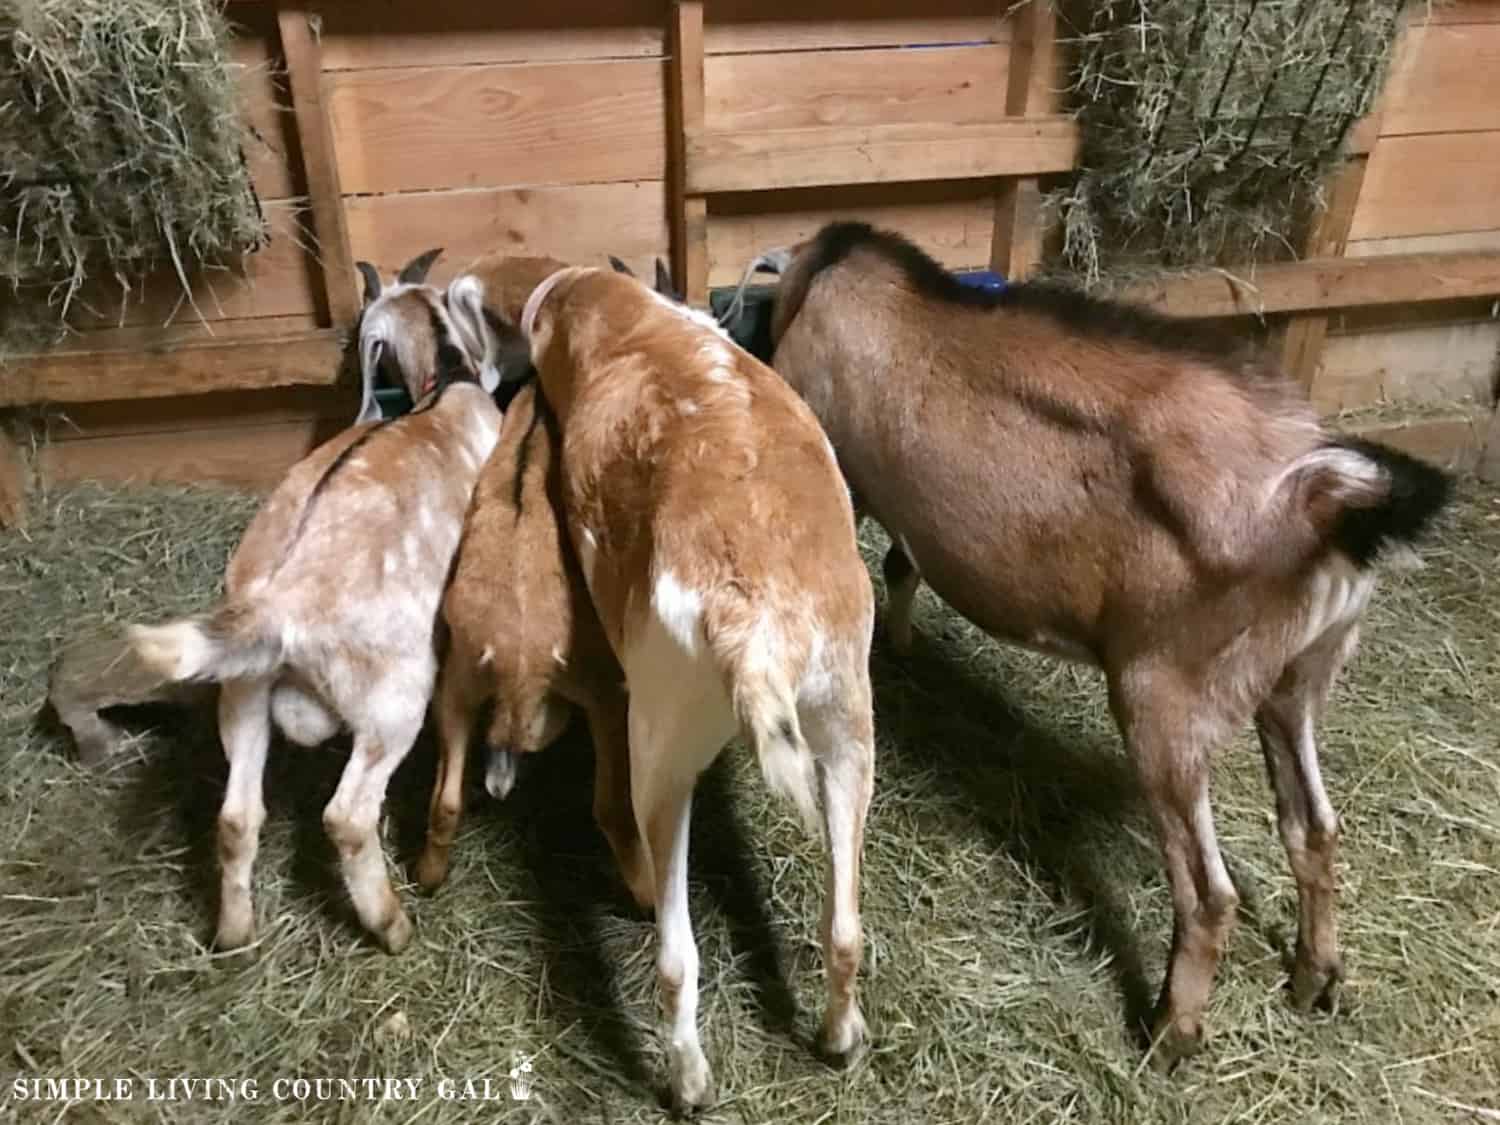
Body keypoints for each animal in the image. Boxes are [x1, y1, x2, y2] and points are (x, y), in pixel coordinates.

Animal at [48, 251, 501, 953]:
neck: (443, 384)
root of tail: (280, 606)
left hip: (243, 693)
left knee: (236, 815)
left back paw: (234, 931)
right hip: (393, 700)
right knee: (346, 816)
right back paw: (392, 925)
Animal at [415, 255, 683, 901]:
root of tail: (515, 661)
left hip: (453, 687)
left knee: (446, 801)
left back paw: (426, 878)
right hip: (601, 695)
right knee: (611, 810)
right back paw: (644, 895)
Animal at [444, 254, 877, 1111]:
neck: (586, 298)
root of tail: (750, 622)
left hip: (660, 753)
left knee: (675, 954)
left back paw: (688, 1080)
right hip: (847, 724)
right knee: (843, 929)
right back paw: (839, 1037)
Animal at [740, 221, 1452, 1067]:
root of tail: (1329, 506)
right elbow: (903, 563)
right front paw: (908, 644)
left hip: (1165, 696)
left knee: (1209, 893)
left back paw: (1170, 1033)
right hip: (1298, 680)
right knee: (1314, 827)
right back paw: (1317, 977)